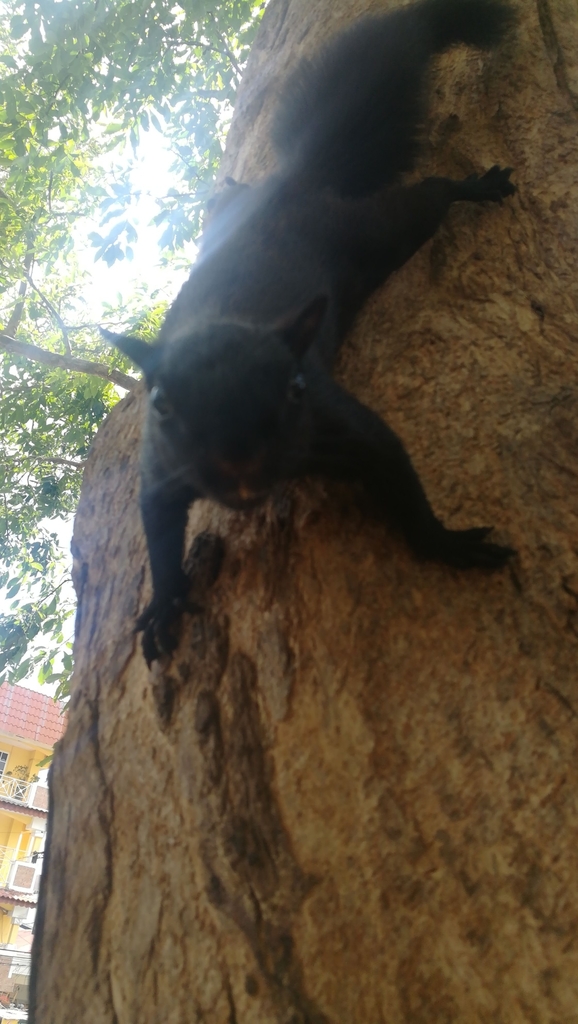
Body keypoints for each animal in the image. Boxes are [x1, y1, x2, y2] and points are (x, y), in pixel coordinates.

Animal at [104, 0, 517, 666]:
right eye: (160, 402)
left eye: (294, 387)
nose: (240, 464)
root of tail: (287, 186)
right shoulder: (160, 467)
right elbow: (160, 536)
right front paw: (164, 604)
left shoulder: (337, 421)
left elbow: (395, 467)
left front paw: (447, 542)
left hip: (372, 231)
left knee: (429, 198)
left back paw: (476, 186)